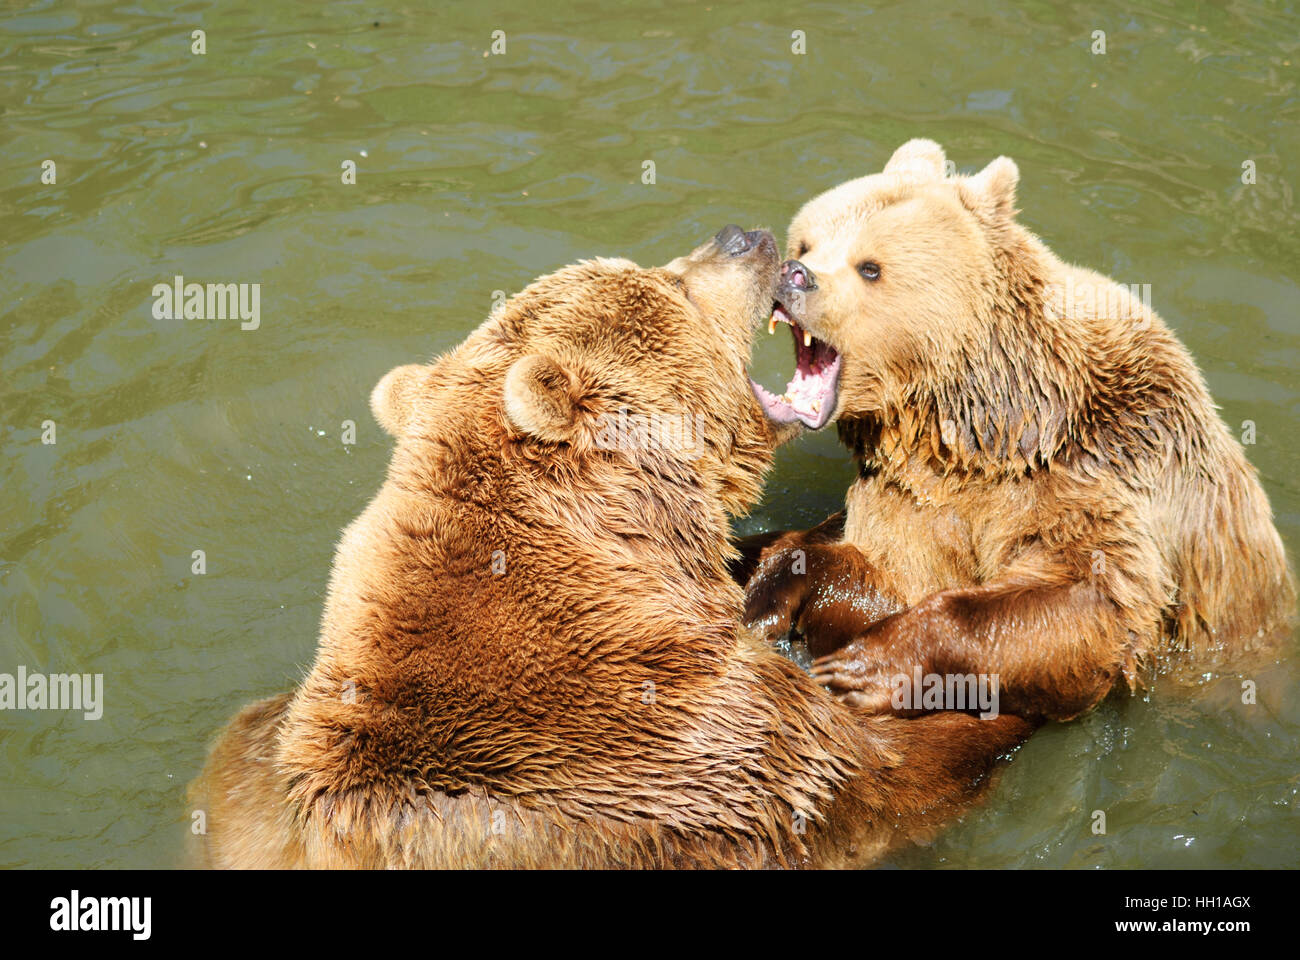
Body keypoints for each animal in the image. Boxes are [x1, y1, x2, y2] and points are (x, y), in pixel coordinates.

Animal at [742, 139, 1295, 723]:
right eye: (807, 240)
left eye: (869, 267)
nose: (793, 273)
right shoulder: (917, 491)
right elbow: (879, 566)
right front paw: (771, 583)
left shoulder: (1091, 475)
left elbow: (1087, 602)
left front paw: (862, 667)